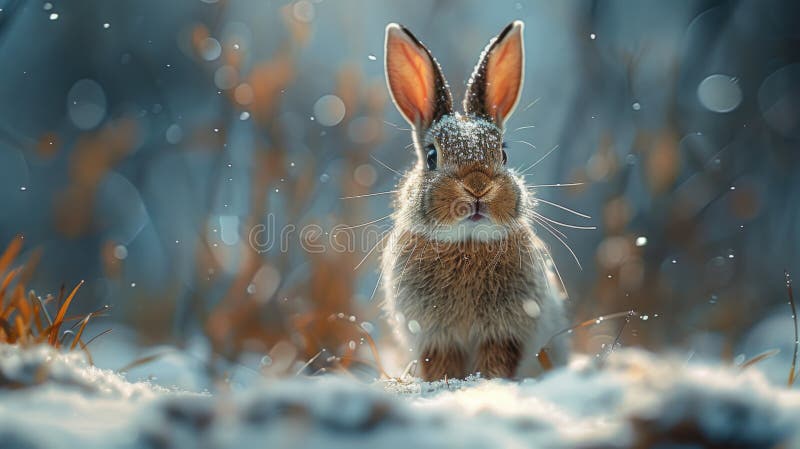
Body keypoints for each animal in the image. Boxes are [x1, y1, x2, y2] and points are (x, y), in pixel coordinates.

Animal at [380, 21, 570, 380]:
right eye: (431, 157)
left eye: (504, 154)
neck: (466, 243)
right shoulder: (434, 337)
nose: (477, 188)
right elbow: (442, 366)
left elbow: (494, 364)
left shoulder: (505, 333)